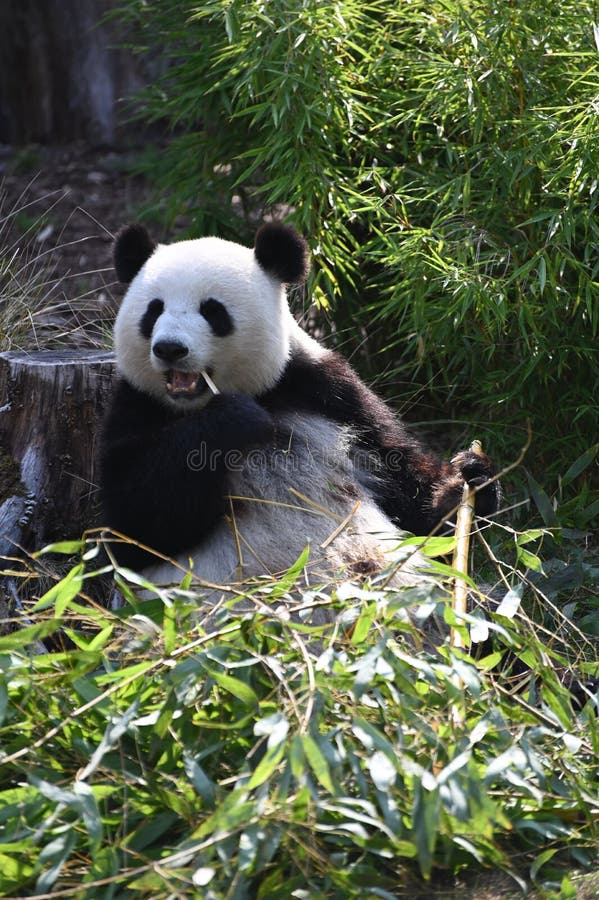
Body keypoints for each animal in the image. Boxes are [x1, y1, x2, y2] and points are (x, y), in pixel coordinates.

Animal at [99, 222, 500, 596]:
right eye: (154, 310)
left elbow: (404, 487)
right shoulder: (135, 404)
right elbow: (134, 526)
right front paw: (234, 418)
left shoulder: (330, 393)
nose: (169, 348)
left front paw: (470, 480)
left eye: (212, 311)